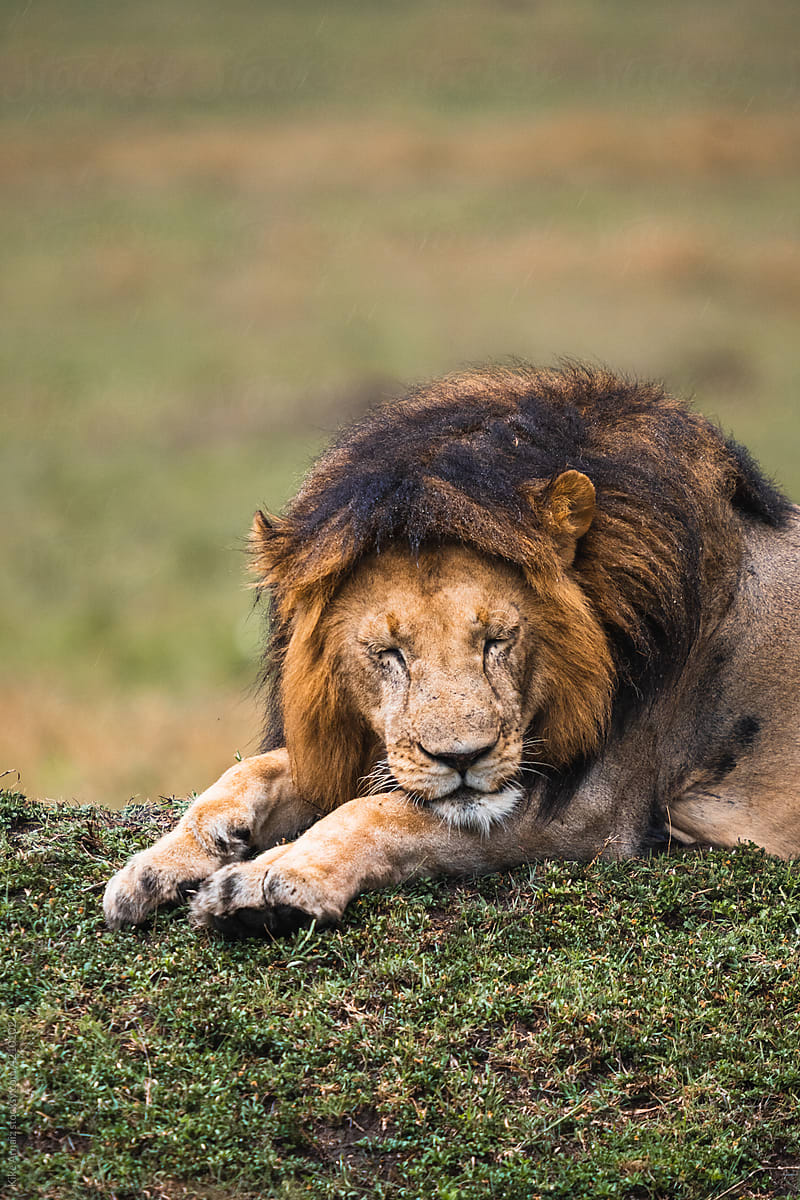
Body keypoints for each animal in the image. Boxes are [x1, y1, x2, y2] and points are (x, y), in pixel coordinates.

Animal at [104, 364, 800, 937]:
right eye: (388, 652)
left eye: (498, 640)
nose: (463, 759)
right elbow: (259, 770)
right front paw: (163, 863)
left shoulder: (592, 810)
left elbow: (378, 813)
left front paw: (268, 883)